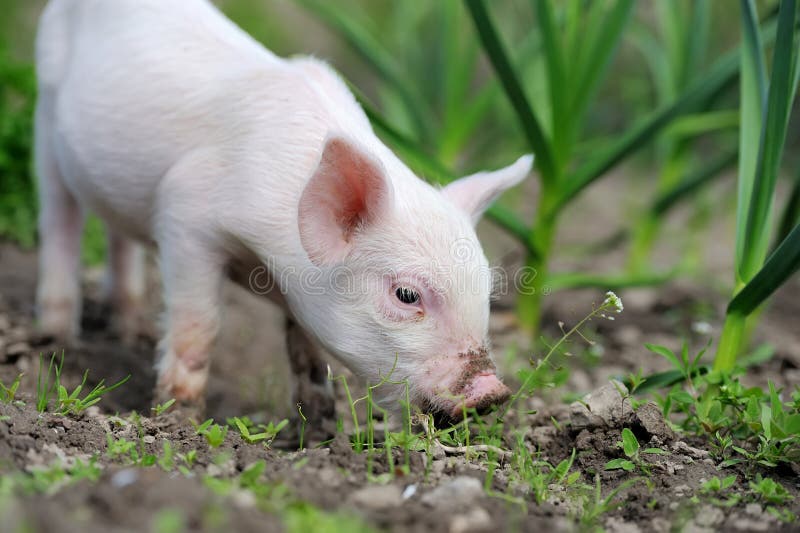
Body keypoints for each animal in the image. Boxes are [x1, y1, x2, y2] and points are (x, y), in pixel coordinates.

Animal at [34, 0, 533, 421]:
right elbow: (200, 325)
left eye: (485, 290)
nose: (492, 392)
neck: (265, 259)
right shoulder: (185, 216)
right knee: (60, 220)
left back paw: (128, 331)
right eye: (406, 295)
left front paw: (320, 428)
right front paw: (178, 418)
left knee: (117, 235)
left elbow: (305, 348)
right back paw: (55, 341)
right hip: (47, 111)